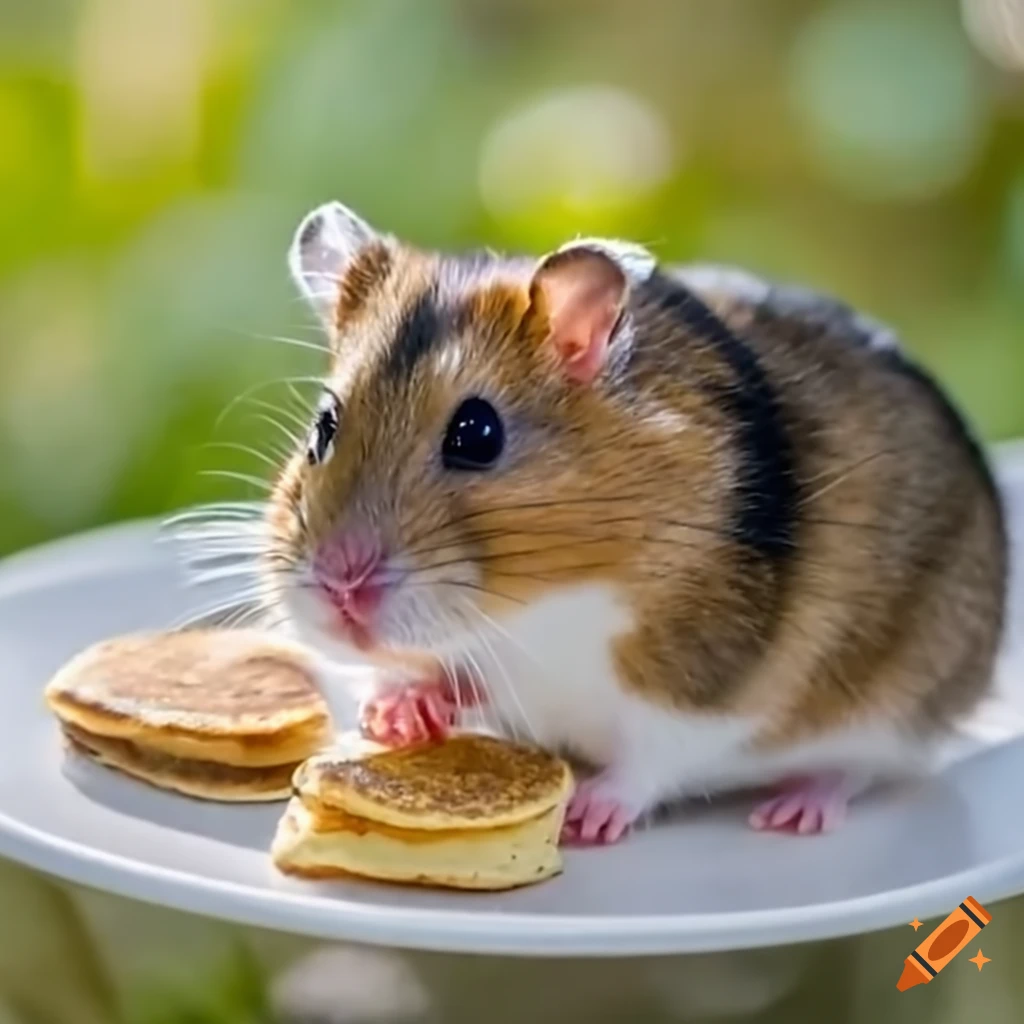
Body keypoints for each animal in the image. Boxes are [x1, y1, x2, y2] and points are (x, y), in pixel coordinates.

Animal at [261, 199, 1007, 845]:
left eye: (477, 434)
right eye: (324, 427)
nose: (339, 588)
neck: (531, 613)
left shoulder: (695, 694)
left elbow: (652, 759)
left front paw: (583, 817)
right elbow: (449, 679)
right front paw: (395, 716)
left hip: (900, 702)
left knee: (865, 764)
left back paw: (795, 810)